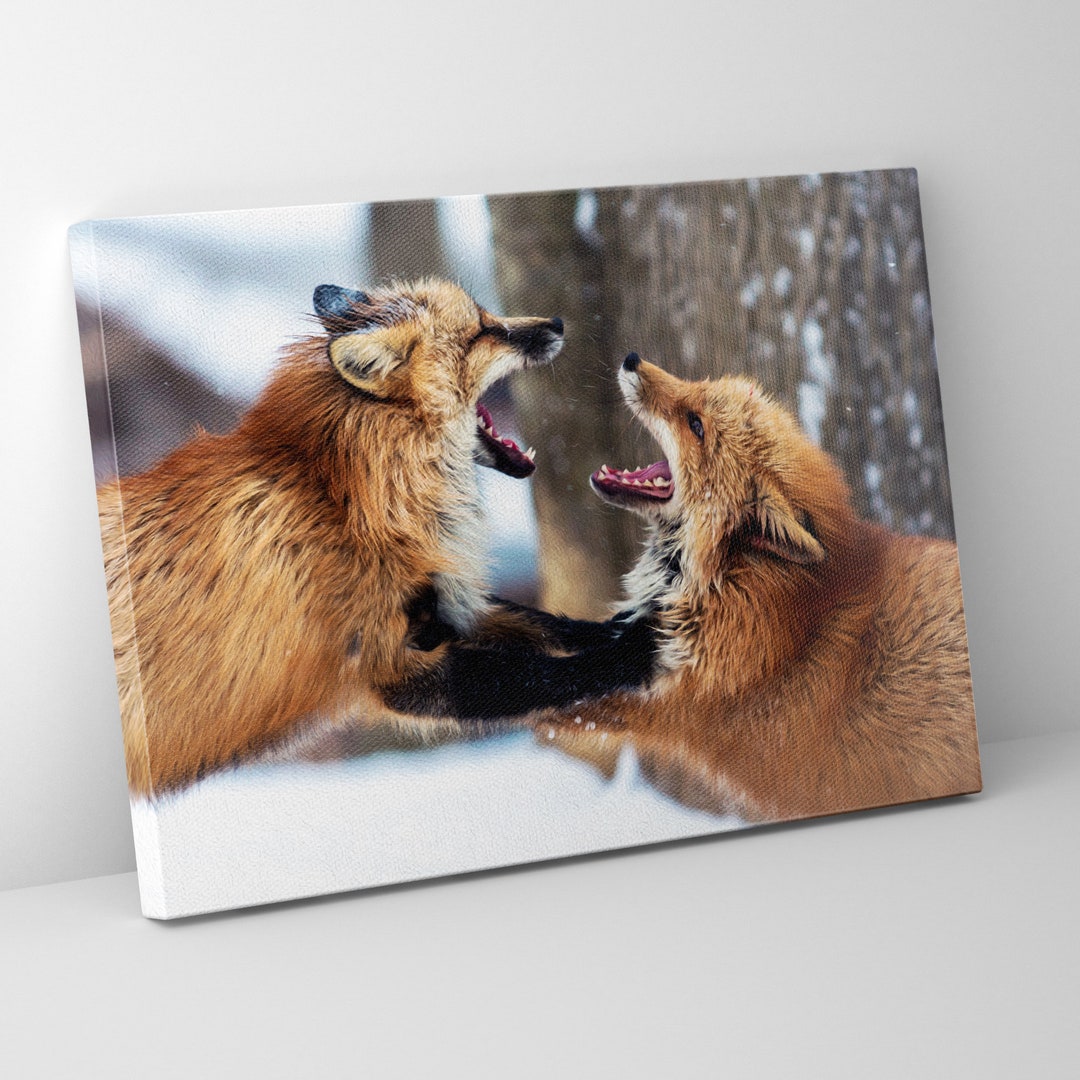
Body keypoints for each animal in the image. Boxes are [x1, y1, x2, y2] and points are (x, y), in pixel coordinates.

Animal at [99, 279, 654, 799]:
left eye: (487, 316)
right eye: (480, 331)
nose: (557, 323)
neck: (347, 502)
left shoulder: (447, 608)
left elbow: (551, 626)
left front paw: (626, 626)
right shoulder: (394, 666)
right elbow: (548, 675)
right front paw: (637, 653)